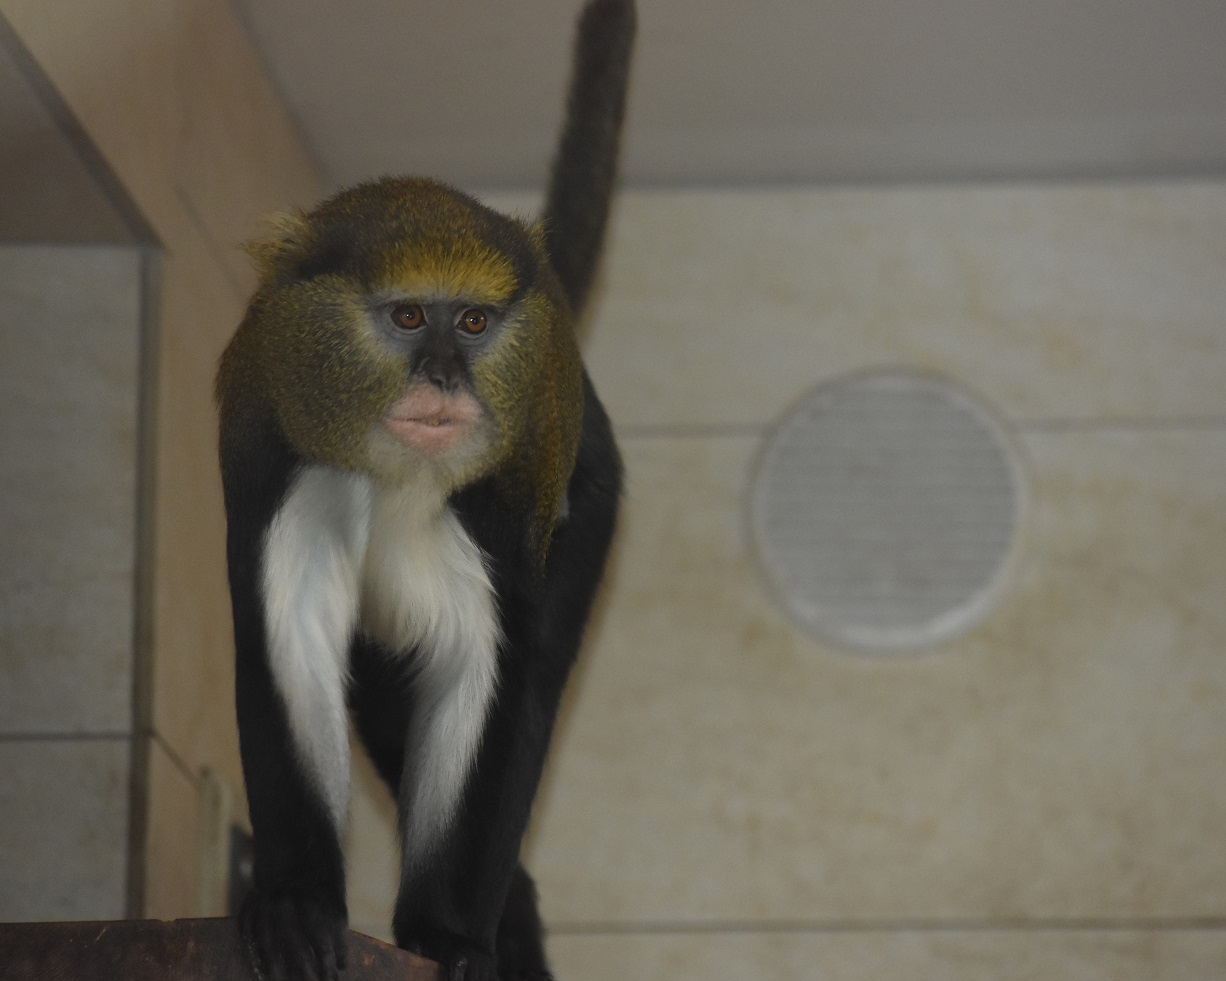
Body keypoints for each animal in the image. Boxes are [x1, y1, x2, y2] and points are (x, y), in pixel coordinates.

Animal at [213, 2, 635, 979]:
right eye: (409, 317)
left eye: (474, 323)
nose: (444, 379)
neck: (400, 480)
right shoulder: (275, 458)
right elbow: (286, 647)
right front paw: (294, 903)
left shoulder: (506, 507)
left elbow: (494, 676)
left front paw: (448, 936)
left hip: (589, 501)